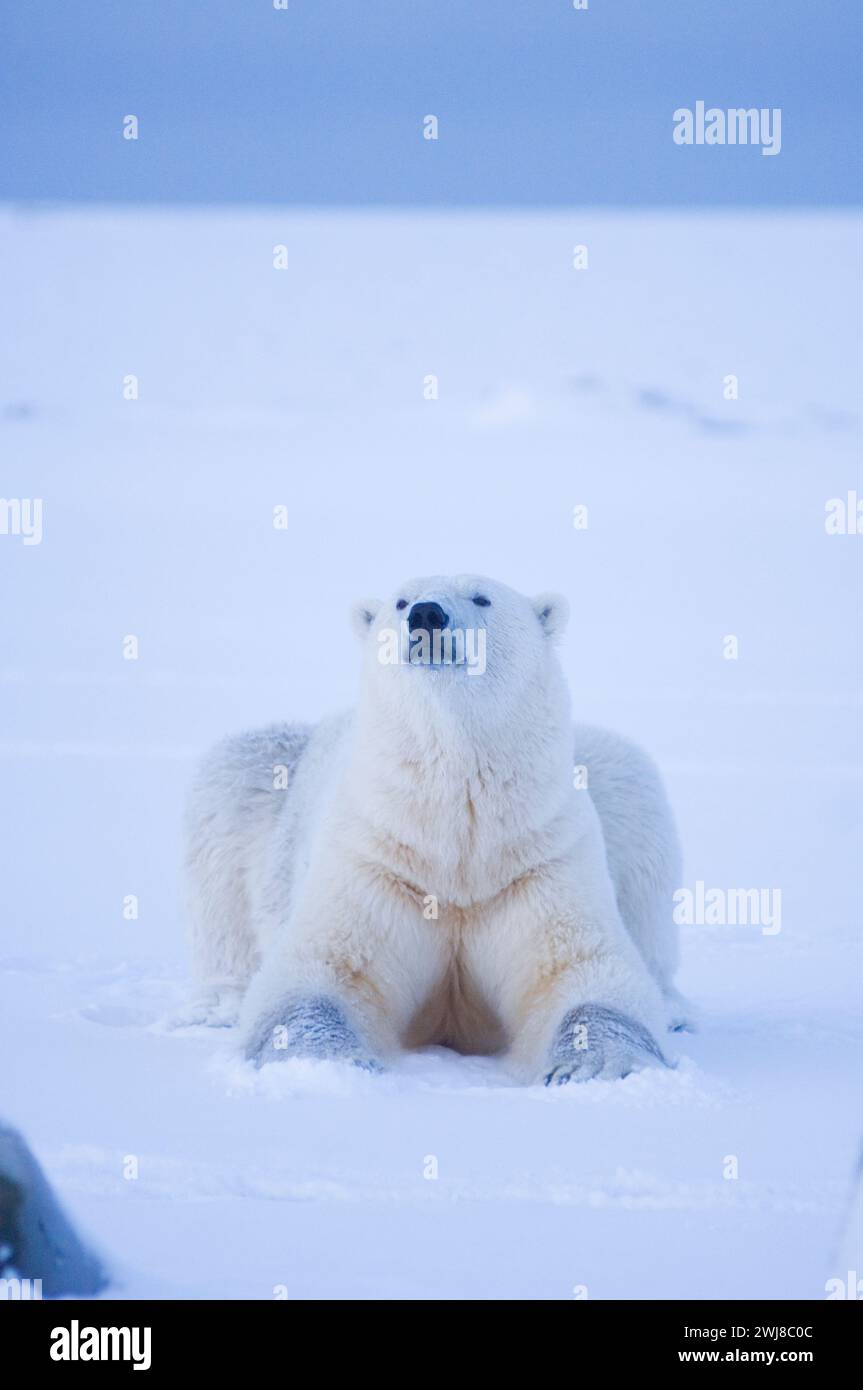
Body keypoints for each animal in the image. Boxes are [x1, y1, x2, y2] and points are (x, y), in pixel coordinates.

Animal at [183, 574, 684, 1084]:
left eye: (483, 597)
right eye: (401, 601)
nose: (426, 614)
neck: (454, 835)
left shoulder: (538, 860)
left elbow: (582, 970)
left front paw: (594, 1066)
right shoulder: (374, 860)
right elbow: (321, 970)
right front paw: (326, 1061)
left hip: (607, 776)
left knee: (638, 807)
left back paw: (675, 1008)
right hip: (268, 779)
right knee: (226, 807)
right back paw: (219, 1003)